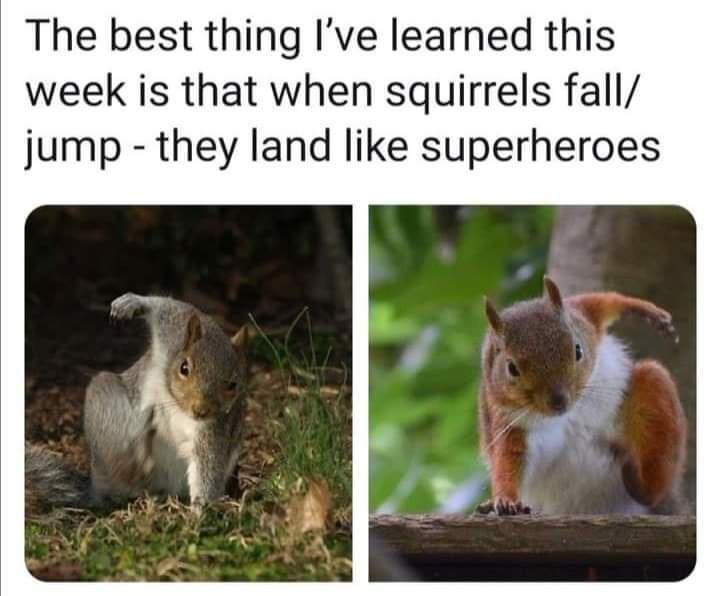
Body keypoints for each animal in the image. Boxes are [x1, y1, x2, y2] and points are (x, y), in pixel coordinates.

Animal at [26, 293, 248, 511]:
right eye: (184, 368)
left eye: (233, 385)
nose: (201, 410)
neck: (178, 406)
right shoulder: (173, 334)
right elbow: (169, 308)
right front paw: (131, 303)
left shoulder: (213, 429)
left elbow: (207, 467)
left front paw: (200, 510)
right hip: (104, 403)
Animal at [477, 276, 688, 515]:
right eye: (511, 368)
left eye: (578, 350)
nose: (559, 401)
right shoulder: (509, 423)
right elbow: (507, 461)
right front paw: (505, 500)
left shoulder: (583, 316)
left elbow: (604, 301)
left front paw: (648, 310)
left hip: (654, 392)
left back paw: (643, 484)